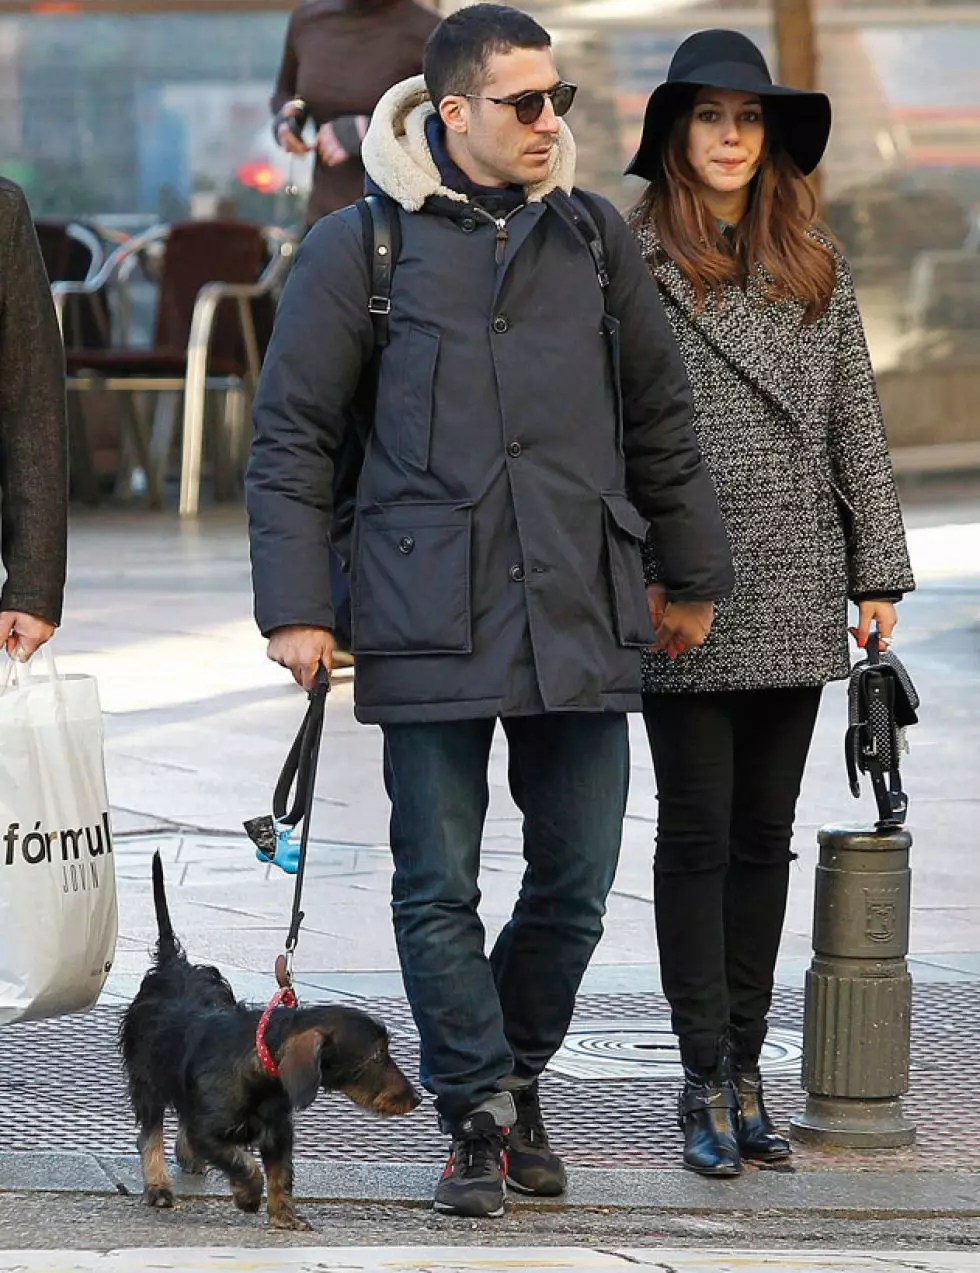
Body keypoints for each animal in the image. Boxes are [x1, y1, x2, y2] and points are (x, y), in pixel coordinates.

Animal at [117, 850, 417, 1227]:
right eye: (376, 1055)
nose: (416, 1098)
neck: (258, 1066)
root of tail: (172, 965)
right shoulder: (210, 1130)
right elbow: (241, 1162)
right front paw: (247, 1195)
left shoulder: (279, 1131)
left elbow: (281, 1173)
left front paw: (285, 1214)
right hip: (148, 1080)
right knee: (150, 1134)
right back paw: (158, 1185)